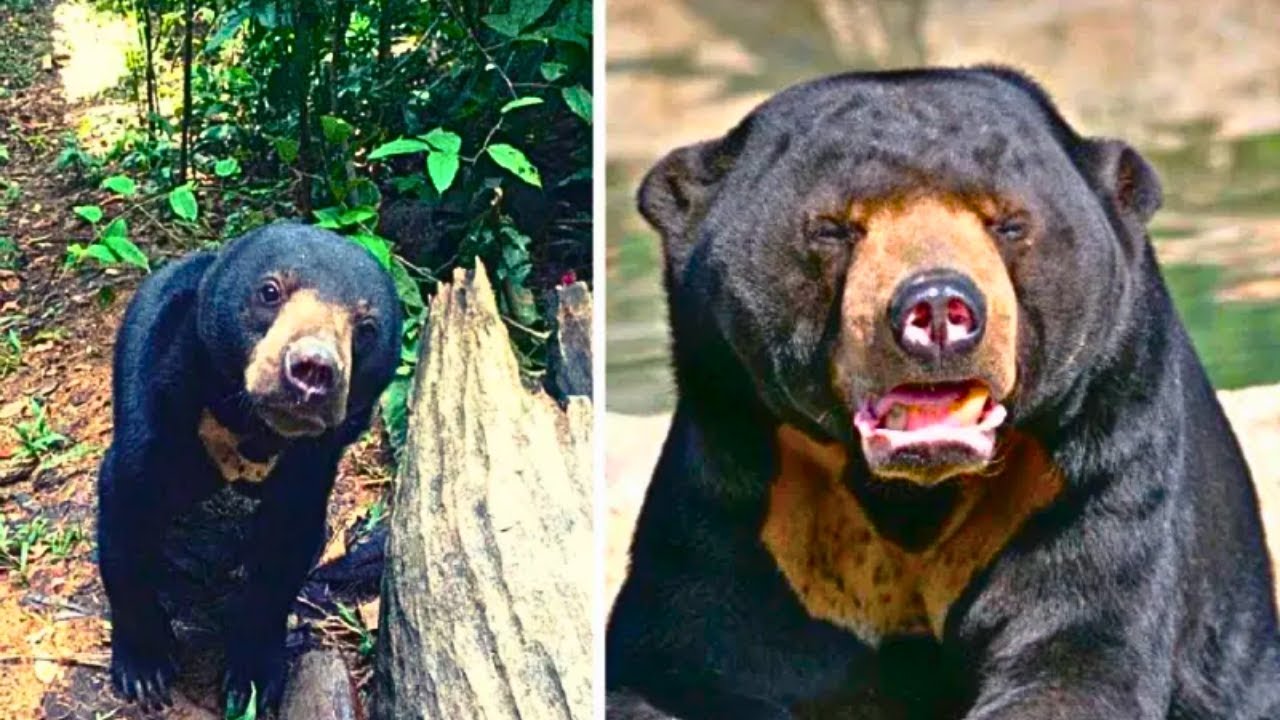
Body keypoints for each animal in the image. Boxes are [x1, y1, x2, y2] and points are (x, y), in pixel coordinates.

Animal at [97, 223, 402, 713]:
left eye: (367, 328)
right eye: (270, 291)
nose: (312, 370)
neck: (252, 427)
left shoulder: (311, 464)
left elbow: (285, 553)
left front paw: (252, 678)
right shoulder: (159, 403)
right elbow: (126, 510)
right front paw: (145, 669)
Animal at [606, 67, 1280, 719]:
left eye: (1008, 222)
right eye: (833, 229)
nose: (935, 308)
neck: (911, 494)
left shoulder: (1090, 460)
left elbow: (1072, 650)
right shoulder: (750, 484)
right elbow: (689, 659)